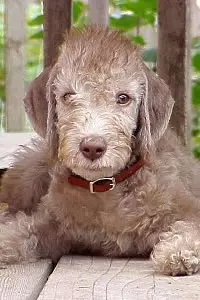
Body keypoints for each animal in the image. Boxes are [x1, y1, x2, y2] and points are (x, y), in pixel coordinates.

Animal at [0, 27, 200, 276]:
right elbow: (20, 230)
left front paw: (179, 252)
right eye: (68, 96)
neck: (105, 189)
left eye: (123, 98)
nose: (92, 147)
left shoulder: (186, 208)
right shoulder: (51, 224)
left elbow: (189, 227)